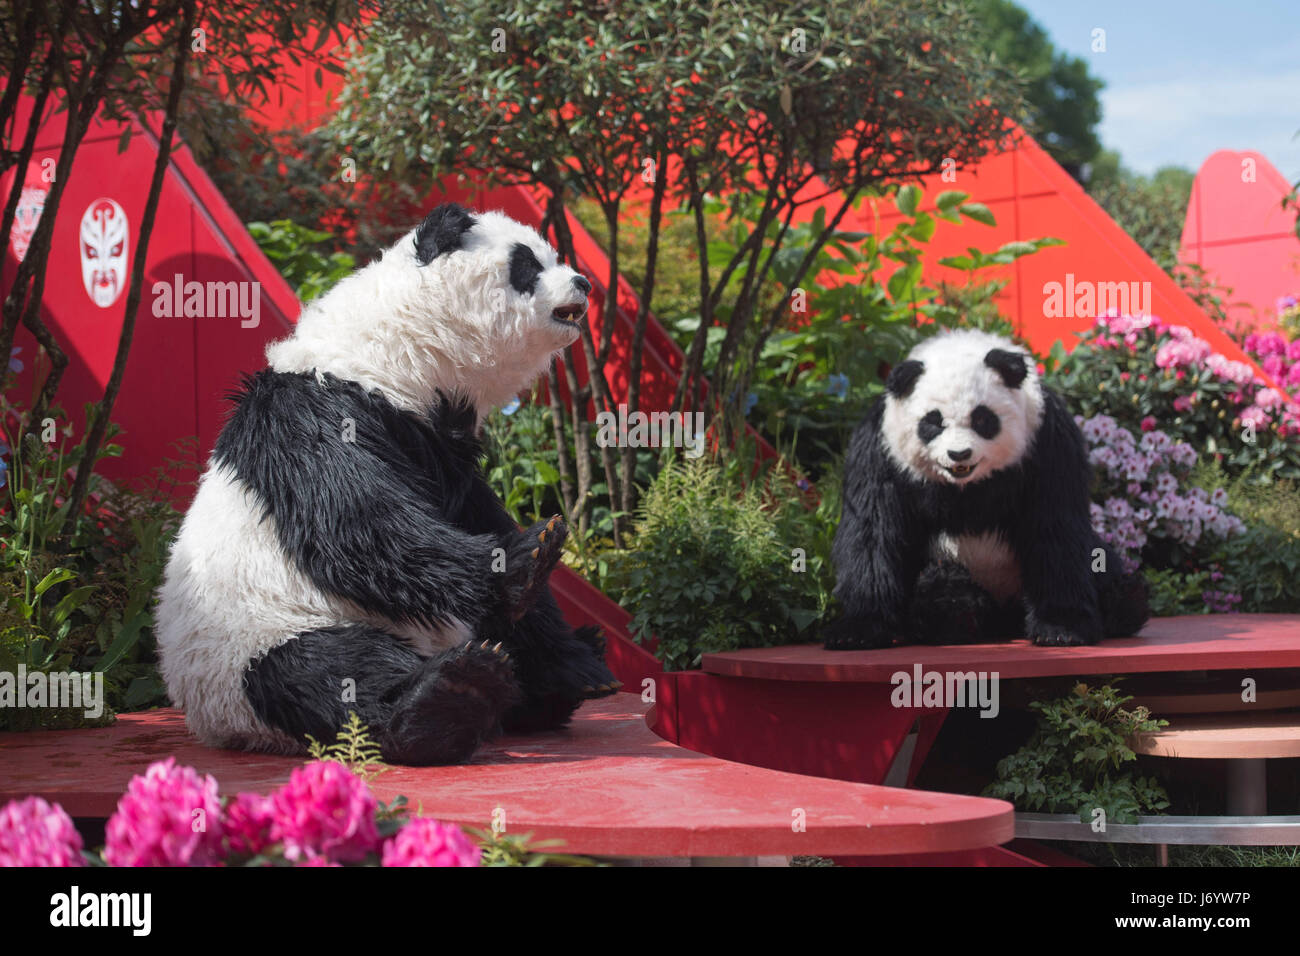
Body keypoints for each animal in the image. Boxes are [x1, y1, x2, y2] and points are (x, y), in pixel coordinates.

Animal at [156, 203, 619, 765]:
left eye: (551, 256)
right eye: (526, 264)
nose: (583, 283)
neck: (400, 352)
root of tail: (221, 729)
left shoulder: (439, 445)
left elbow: (480, 522)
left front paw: (568, 645)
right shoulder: (319, 413)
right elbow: (354, 526)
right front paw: (521, 559)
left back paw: (562, 678)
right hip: (255, 641)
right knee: (327, 670)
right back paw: (450, 697)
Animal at [823, 328, 1149, 649]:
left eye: (982, 419)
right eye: (933, 422)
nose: (959, 454)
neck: (966, 485)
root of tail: (1003, 620)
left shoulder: (1045, 439)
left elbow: (1055, 526)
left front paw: (1062, 629)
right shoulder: (882, 448)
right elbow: (873, 530)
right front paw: (858, 629)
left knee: (1104, 564)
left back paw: (1126, 600)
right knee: (941, 581)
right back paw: (951, 612)